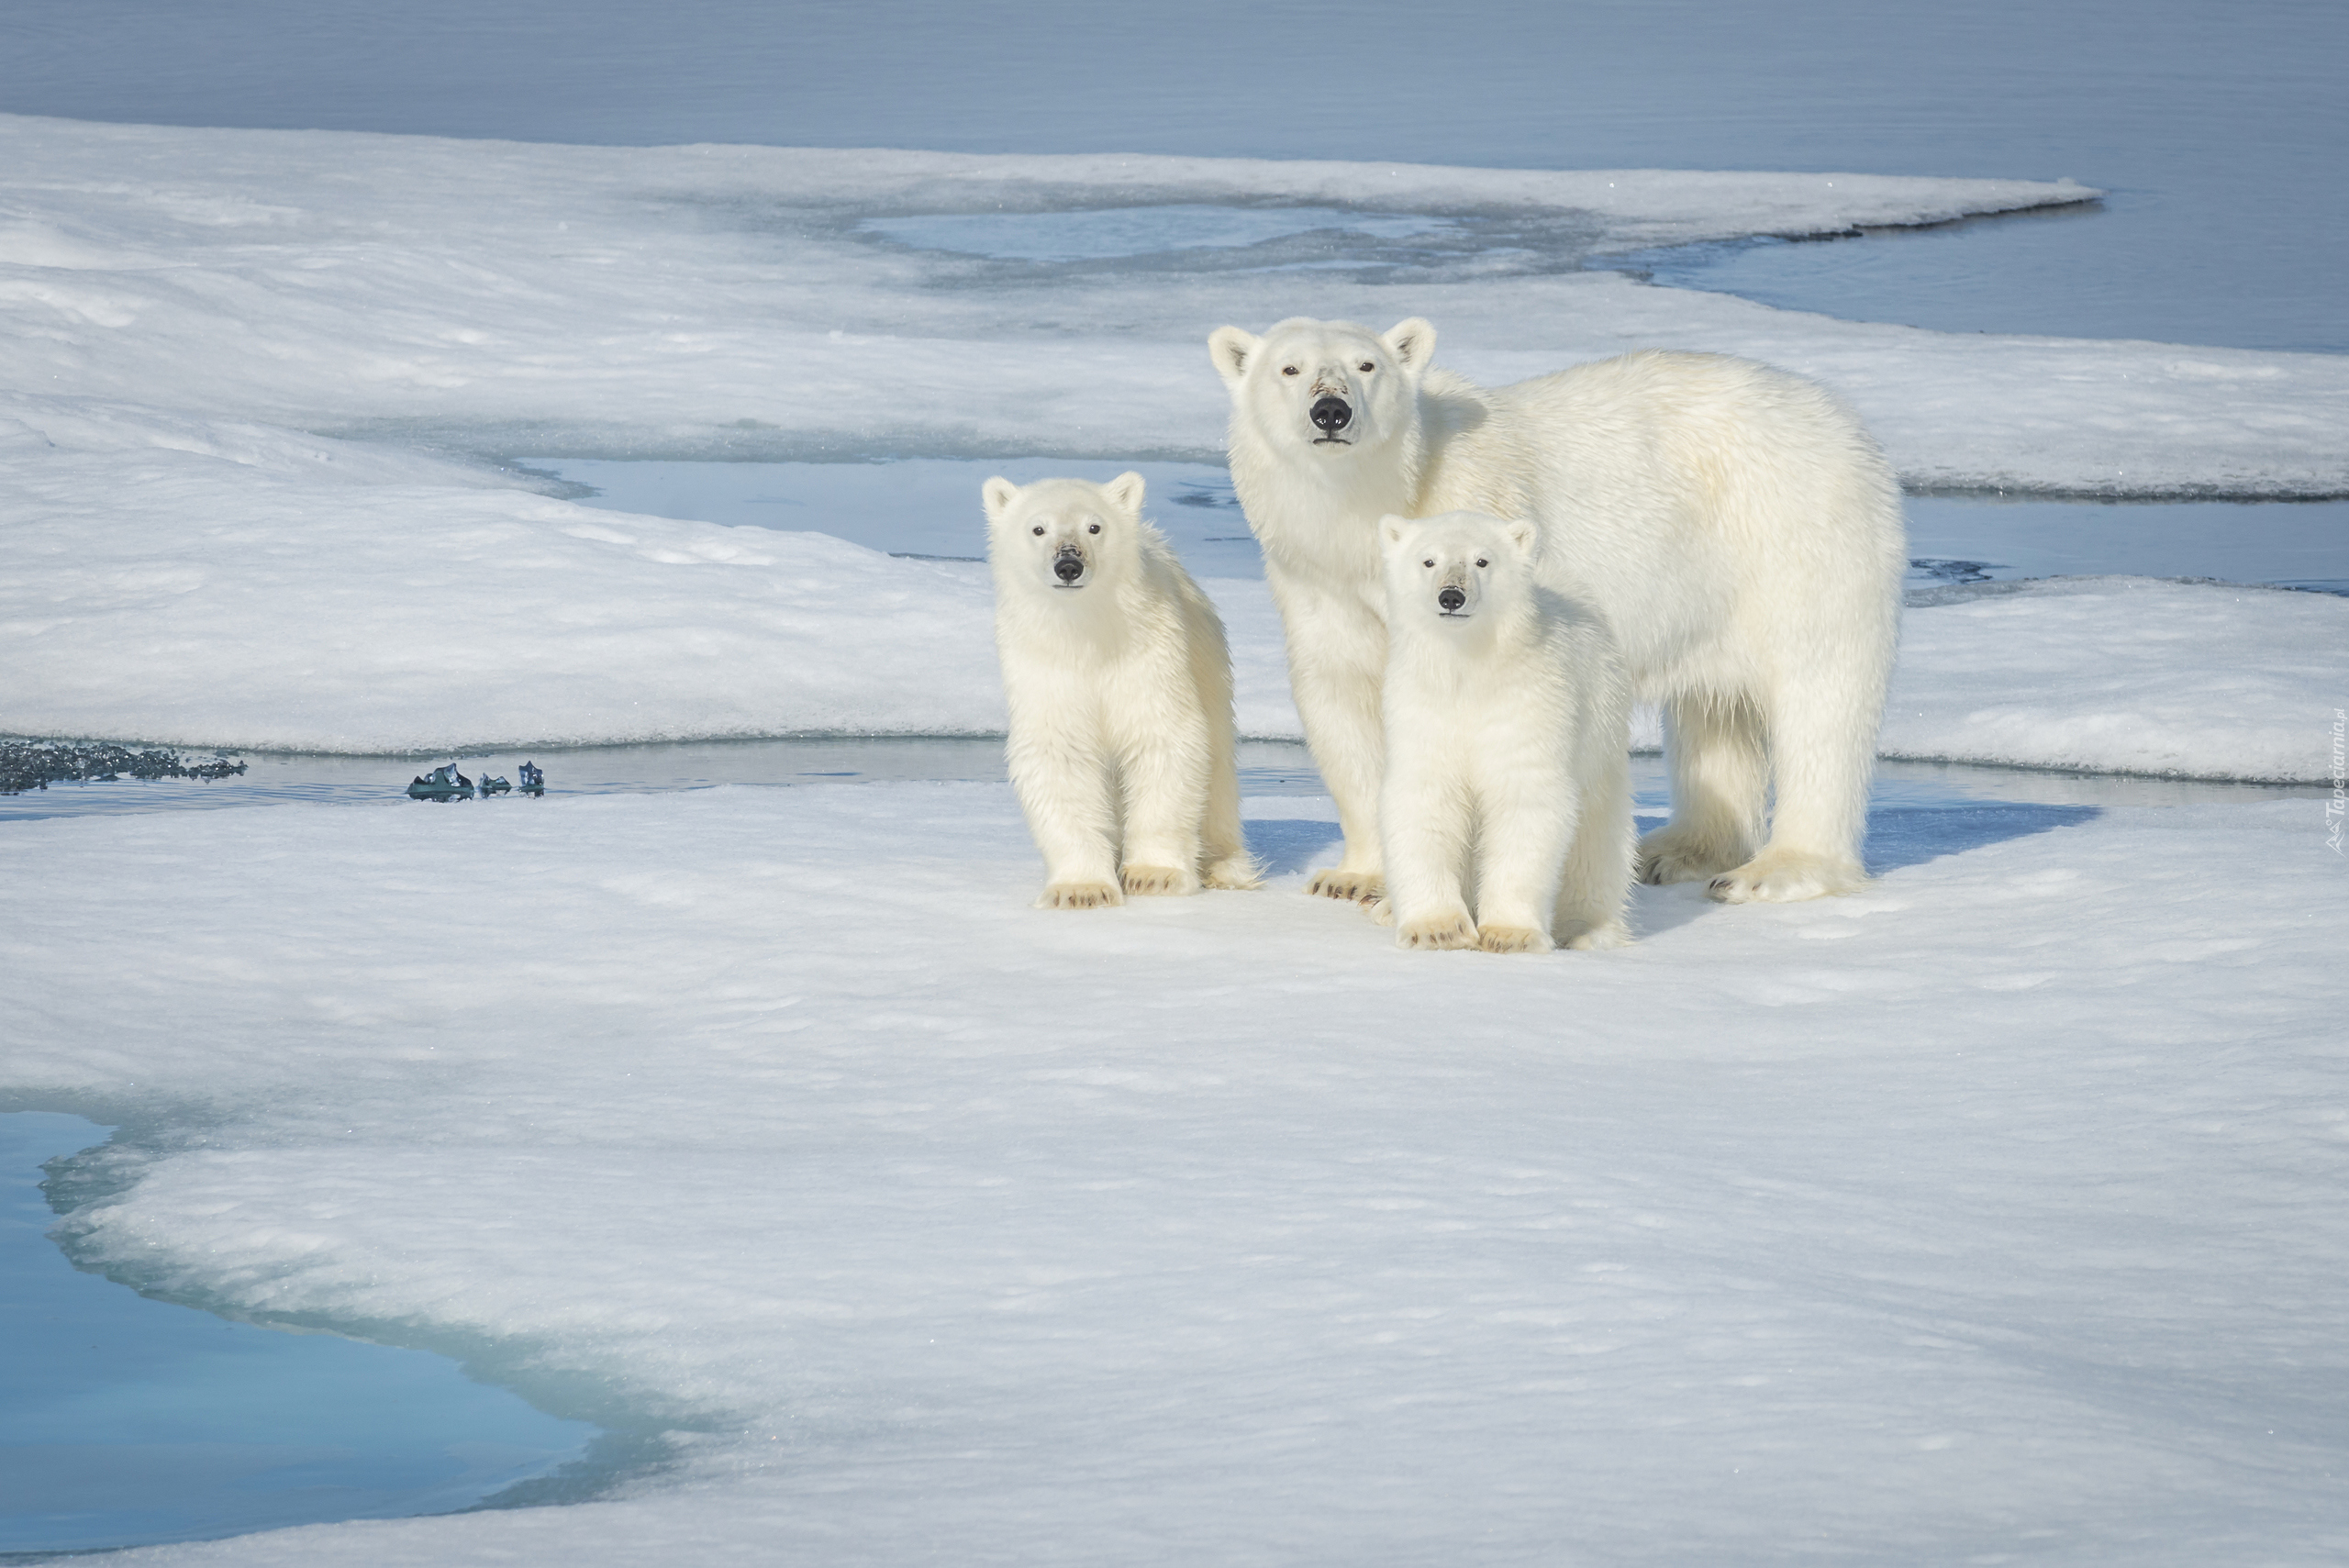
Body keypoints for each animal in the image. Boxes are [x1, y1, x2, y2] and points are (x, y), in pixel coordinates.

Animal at [976, 472, 1259, 906]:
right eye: (1038, 528)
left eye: (1095, 526)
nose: (1069, 565)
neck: (1088, 633)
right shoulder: (1043, 669)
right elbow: (1061, 757)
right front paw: (1080, 889)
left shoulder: (1147, 656)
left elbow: (1162, 740)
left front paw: (1153, 875)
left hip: (1208, 664)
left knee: (1218, 776)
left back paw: (1224, 868)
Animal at [1211, 314, 1907, 906]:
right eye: (1289, 368)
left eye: (1367, 364)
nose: (1331, 409)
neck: (1371, 511)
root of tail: (1845, 422)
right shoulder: (1319, 584)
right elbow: (1343, 701)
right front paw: (1354, 877)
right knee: (1714, 711)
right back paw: (1678, 850)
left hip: (1796, 538)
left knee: (1820, 698)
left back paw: (1774, 870)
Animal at [1372, 516, 1634, 957]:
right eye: (1428, 560)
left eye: (1482, 560)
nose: (1451, 596)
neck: (1470, 669)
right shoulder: (1422, 706)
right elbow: (1425, 800)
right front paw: (1438, 929)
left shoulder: (1530, 702)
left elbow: (1524, 801)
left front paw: (1509, 934)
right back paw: (1387, 908)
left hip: (1604, 743)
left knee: (1598, 844)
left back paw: (1587, 928)